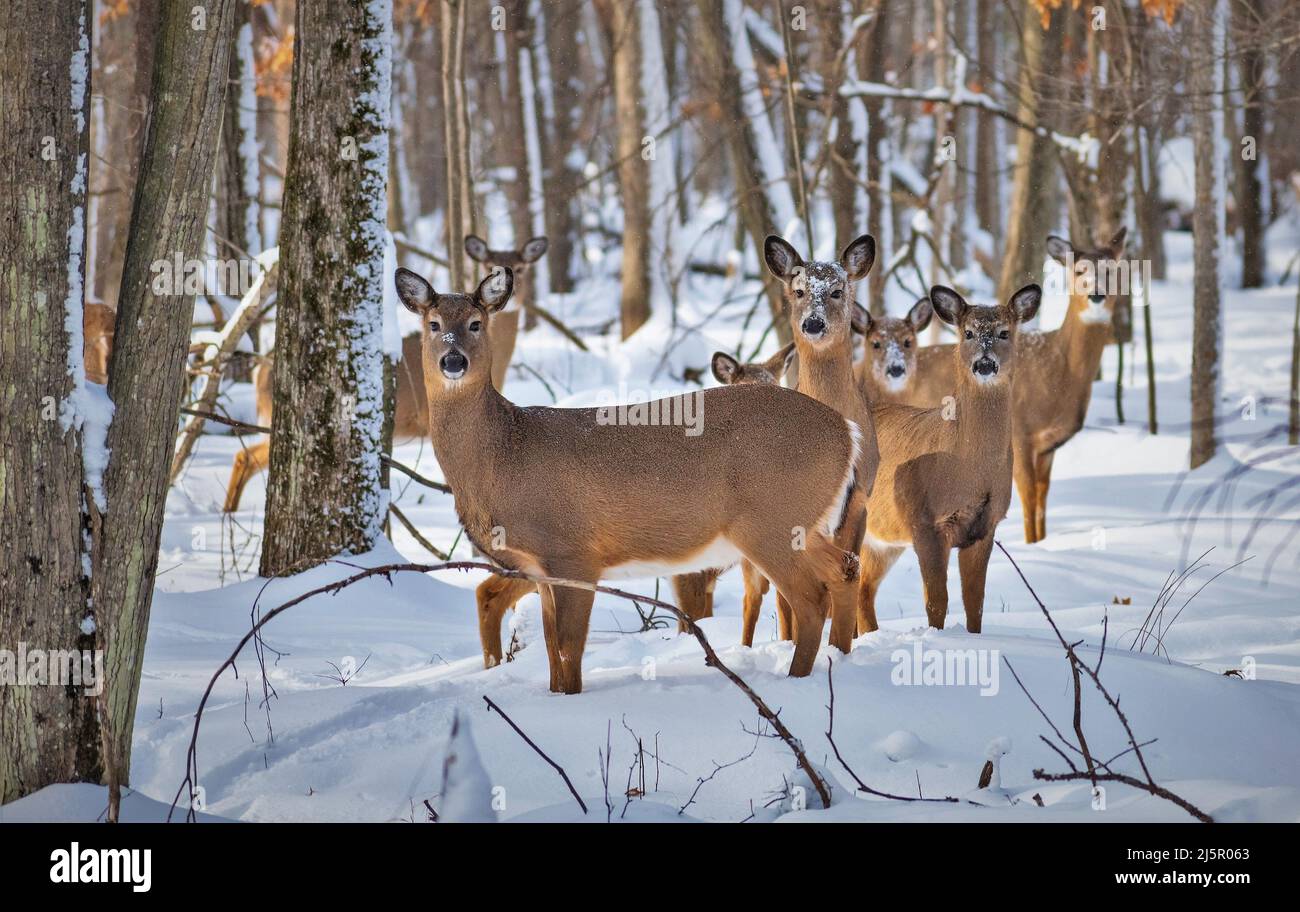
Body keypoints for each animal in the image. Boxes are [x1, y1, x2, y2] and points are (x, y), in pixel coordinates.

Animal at [858, 283, 1042, 634]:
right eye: (967, 332)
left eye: (1004, 332)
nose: (984, 362)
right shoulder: (925, 520)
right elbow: (936, 600)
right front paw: (937, 637)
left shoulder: (985, 527)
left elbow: (975, 601)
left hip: (881, 541)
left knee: (861, 589)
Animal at [1012, 227, 1127, 543]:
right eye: (1079, 270)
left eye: (1112, 270)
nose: (1097, 294)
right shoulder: (1019, 432)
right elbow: (1027, 497)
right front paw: (1030, 545)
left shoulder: (1048, 446)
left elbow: (1042, 498)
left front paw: (1042, 543)